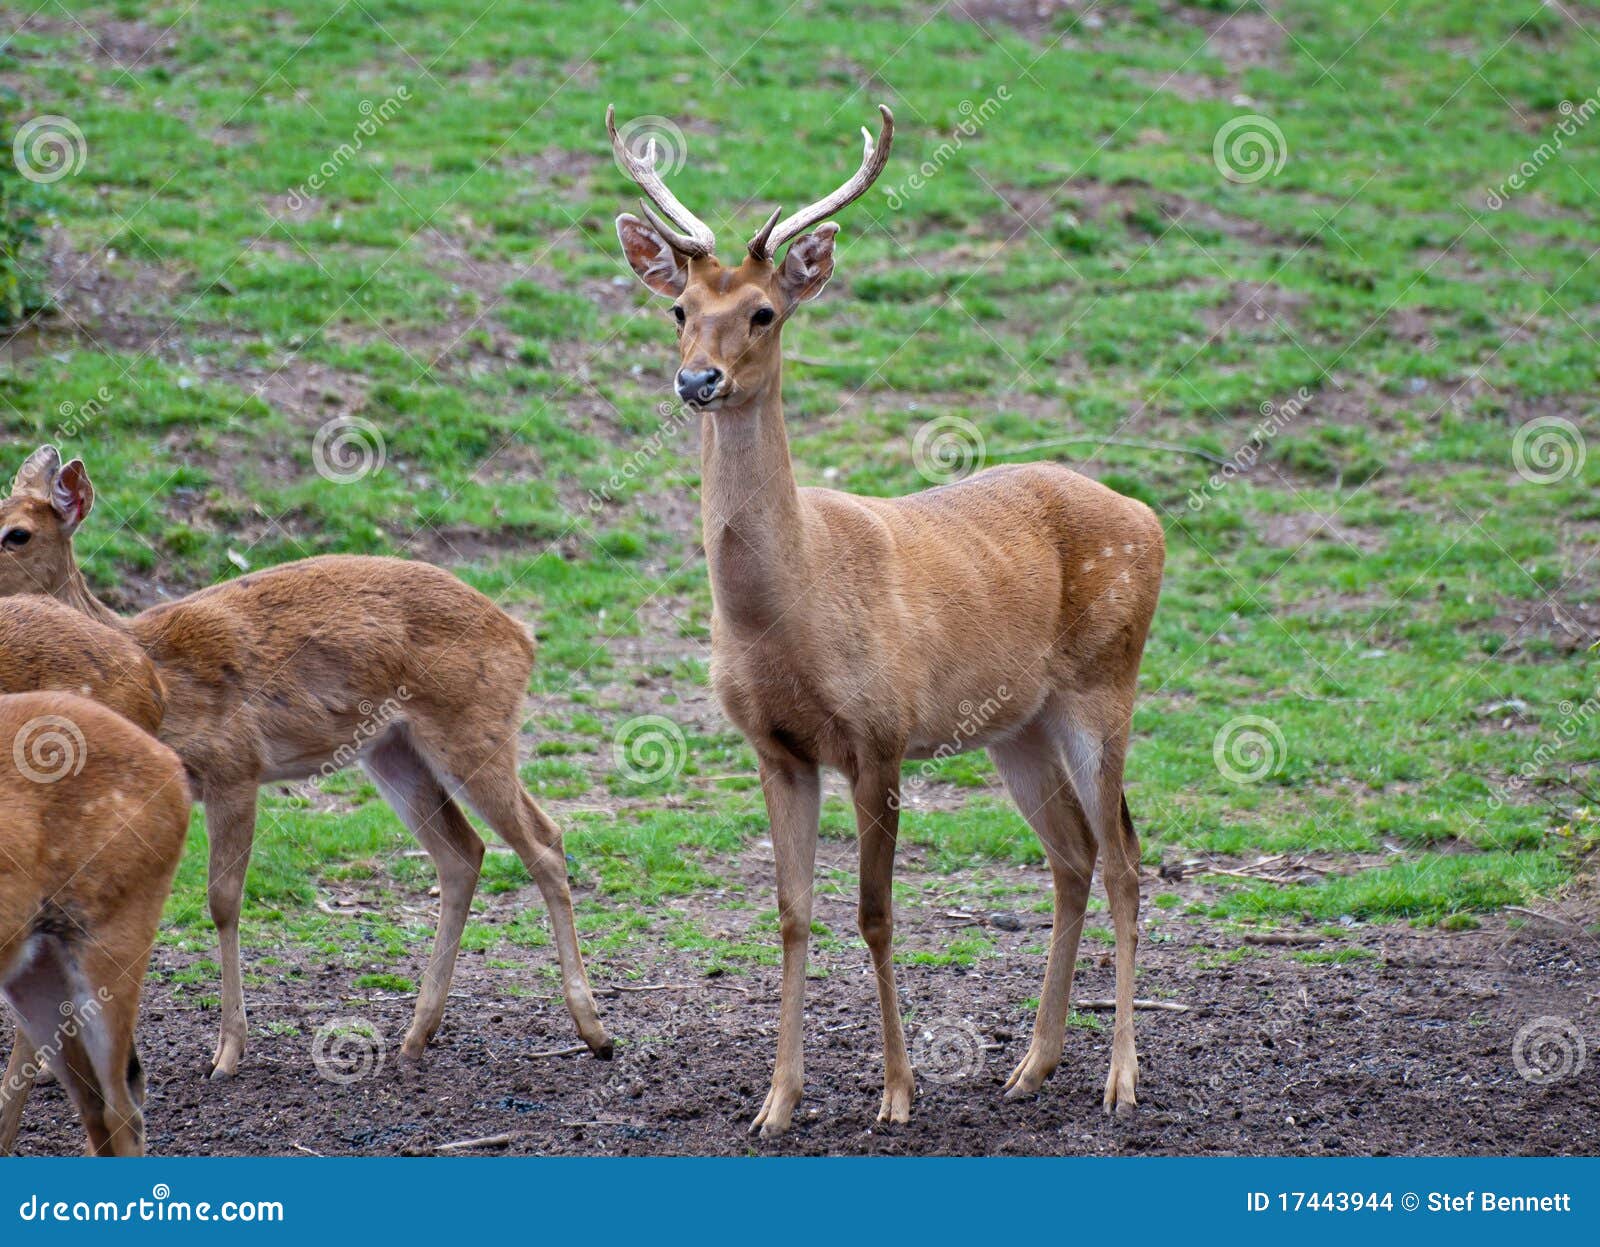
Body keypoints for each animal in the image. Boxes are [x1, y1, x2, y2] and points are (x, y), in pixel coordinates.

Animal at [0, 445, 611, 1080]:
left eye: (17, 533)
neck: (155, 667)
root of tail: (523, 636)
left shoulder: (235, 767)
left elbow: (222, 902)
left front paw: (227, 1053)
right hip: (393, 752)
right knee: (462, 853)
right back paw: (415, 1036)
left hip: (474, 728)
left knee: (544, 840)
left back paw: (593, 1031)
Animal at [609, 103, 1164, 1136]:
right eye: (678, 308)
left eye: (764, 311)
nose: (697, 381)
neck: (783, 614)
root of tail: (1148, 518)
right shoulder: (776, 746)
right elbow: (793, 912)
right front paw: (776, 1101)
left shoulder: (881, 733)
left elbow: (876, 913)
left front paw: (898, 1093)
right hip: (1018, 727)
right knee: (1071, 857)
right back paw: (1031, 1064)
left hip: (1107, 683)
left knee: (1123, 860)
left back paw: (1119, 1079)